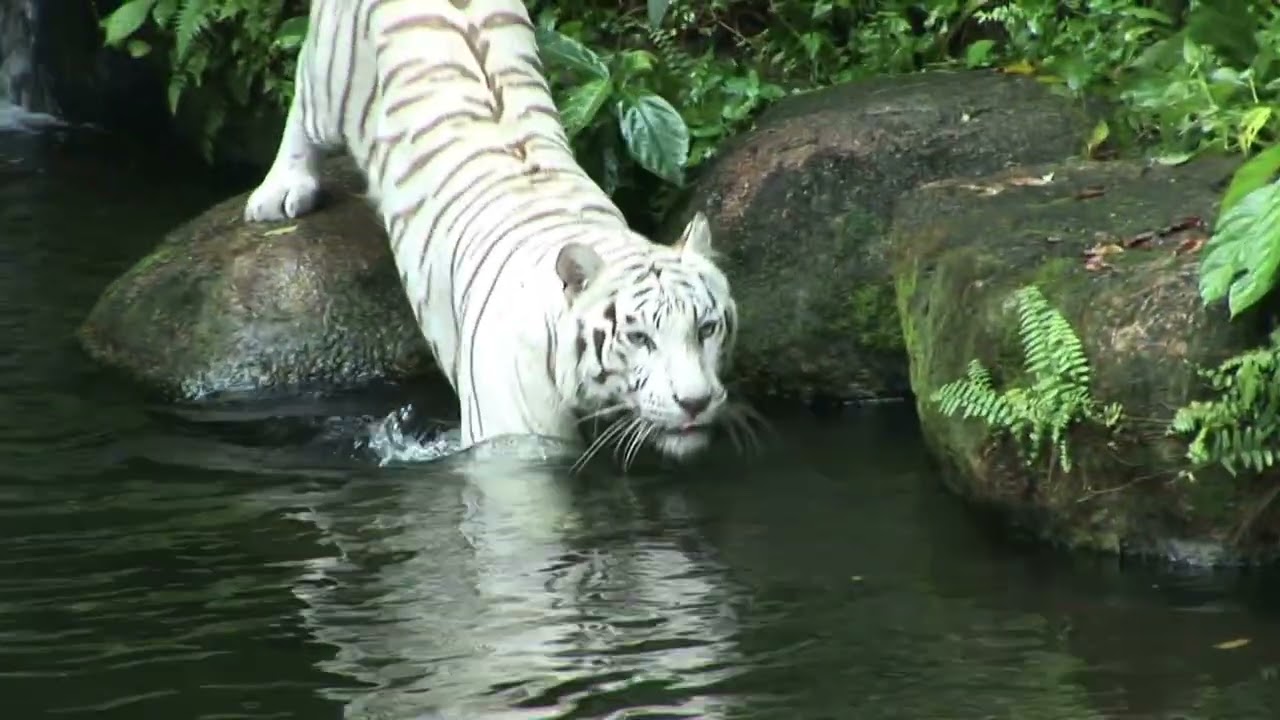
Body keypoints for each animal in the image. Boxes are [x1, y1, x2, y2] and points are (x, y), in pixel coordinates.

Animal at [242, 0, 740, 463]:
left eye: (707, 328)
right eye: (639, 338)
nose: (695, 403)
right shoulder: (514, 442)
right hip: (331, 76)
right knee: (303, 102)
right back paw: (279, 194)